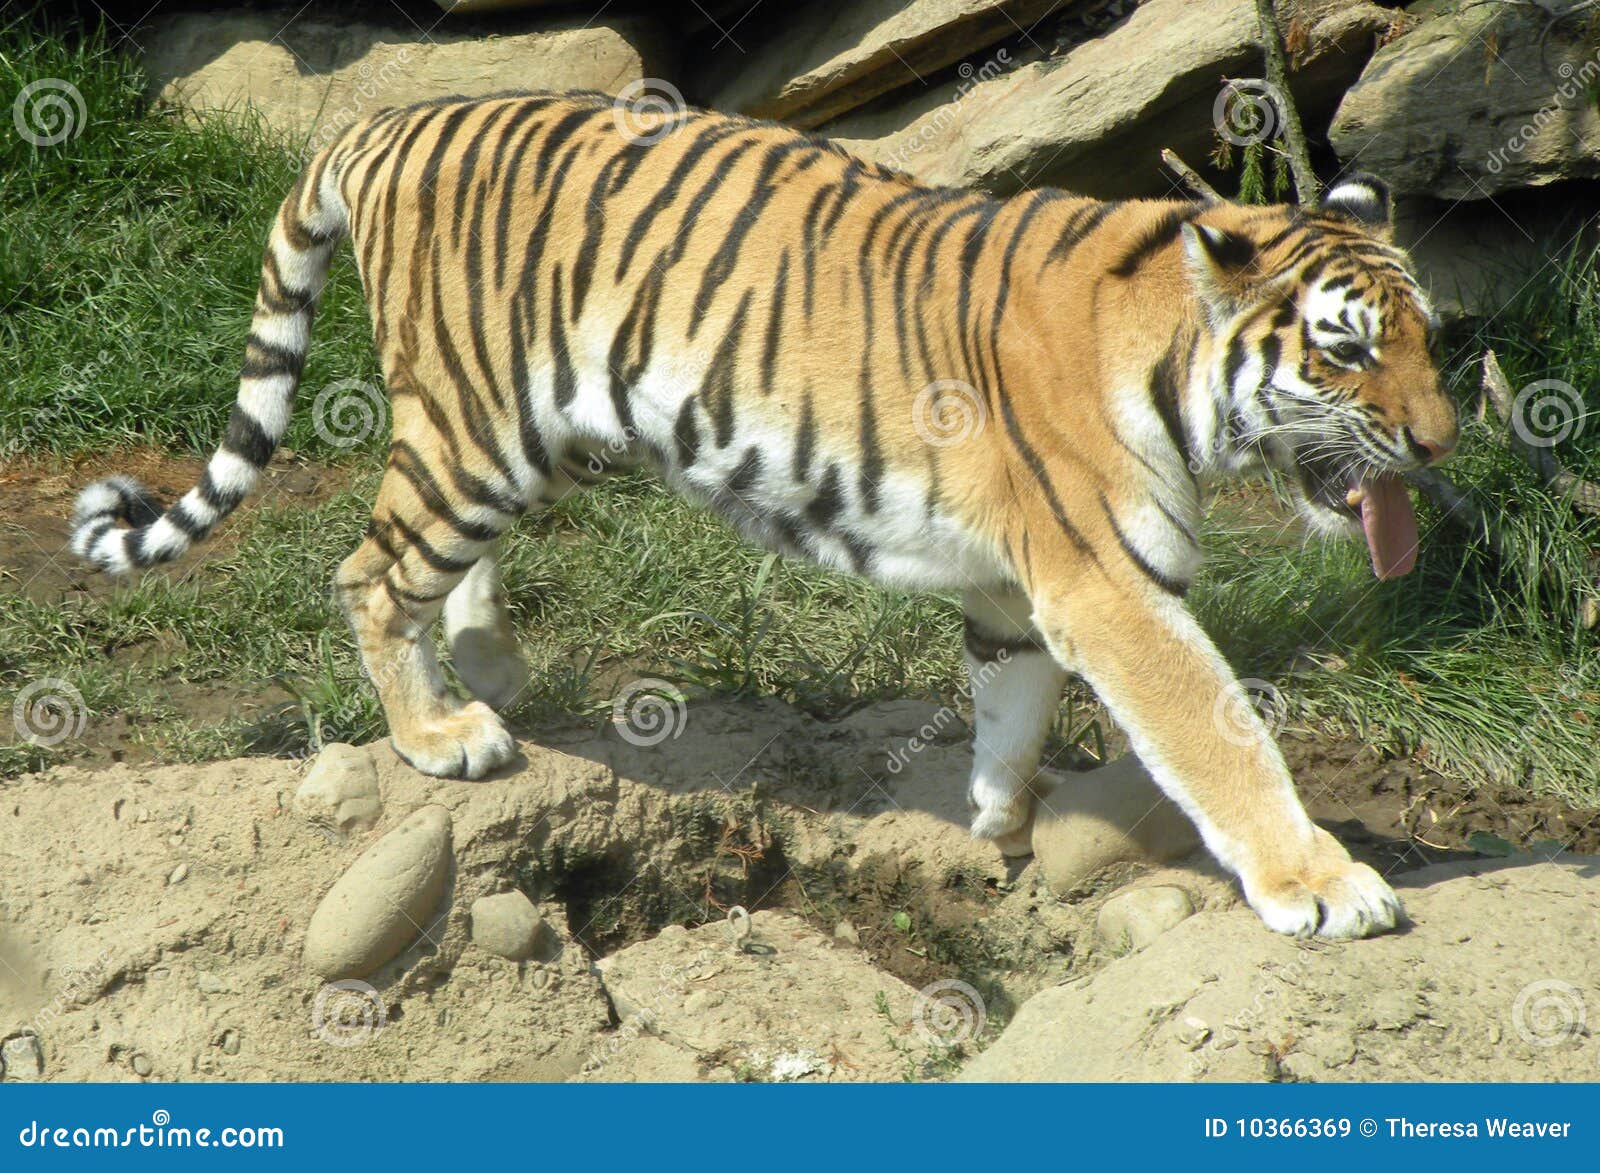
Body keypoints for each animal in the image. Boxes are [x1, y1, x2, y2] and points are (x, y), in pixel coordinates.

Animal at [70, 90, 1457, 940]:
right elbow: (1223, 739)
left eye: (1428, 342)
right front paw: (1323, 887)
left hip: (544, 437)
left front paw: (998, 828)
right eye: (1343, 351)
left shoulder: (1016, 589)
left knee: (440, 566)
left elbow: (1008, 710)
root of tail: (388, 122)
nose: (1442, 443)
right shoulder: (1109, 586)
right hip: (476, 426)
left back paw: (493, 670)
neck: (1173, 359)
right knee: (371, 574)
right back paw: (440, 736)